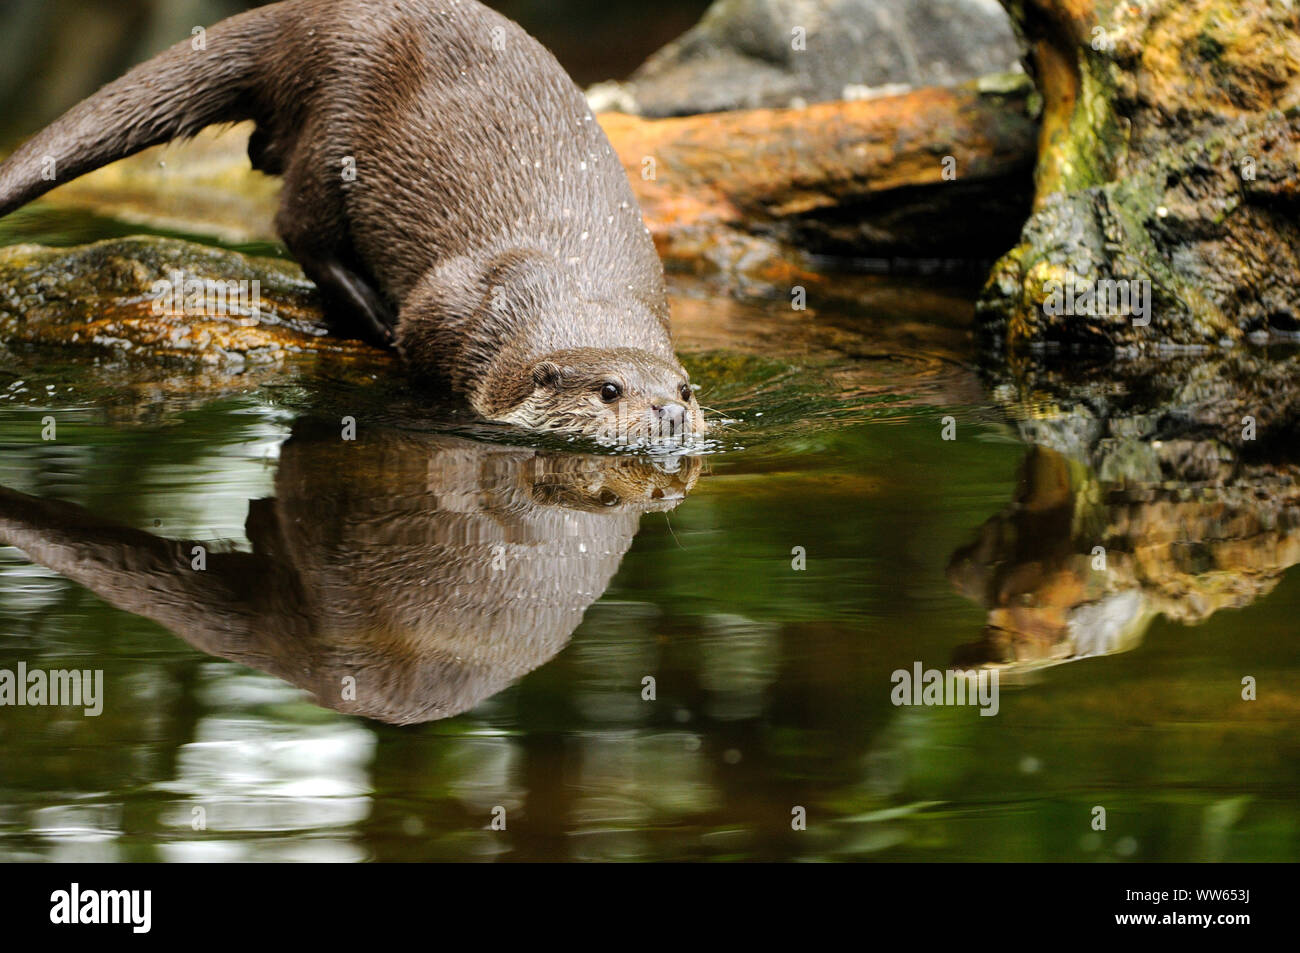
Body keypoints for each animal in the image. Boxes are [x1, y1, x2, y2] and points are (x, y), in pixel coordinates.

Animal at [0, 0, 704, 442]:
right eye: (609, 390)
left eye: (687, 389)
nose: (669, 413)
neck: (575, 281)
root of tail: (312, 16)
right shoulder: (452, 302)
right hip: (337, 117)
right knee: (296, 219)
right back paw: (369, 310)